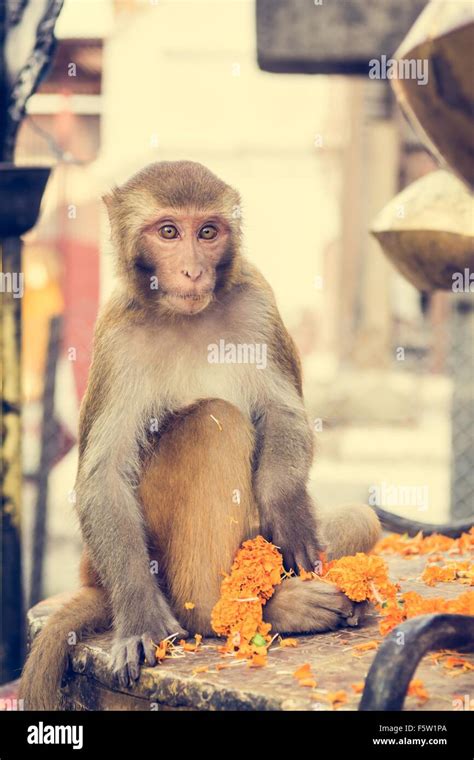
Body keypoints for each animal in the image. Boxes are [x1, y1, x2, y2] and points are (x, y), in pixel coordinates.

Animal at [19, 161, 381, 710]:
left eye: (207, 232)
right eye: (169, 232)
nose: (192, 270)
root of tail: (91, 577)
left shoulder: (257, 300)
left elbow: (283, 413)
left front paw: (287, 507)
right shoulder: (116, 336)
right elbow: (103, 476)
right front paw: (141, 620)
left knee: (360, 518)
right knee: (211, 423)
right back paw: (234, 610)